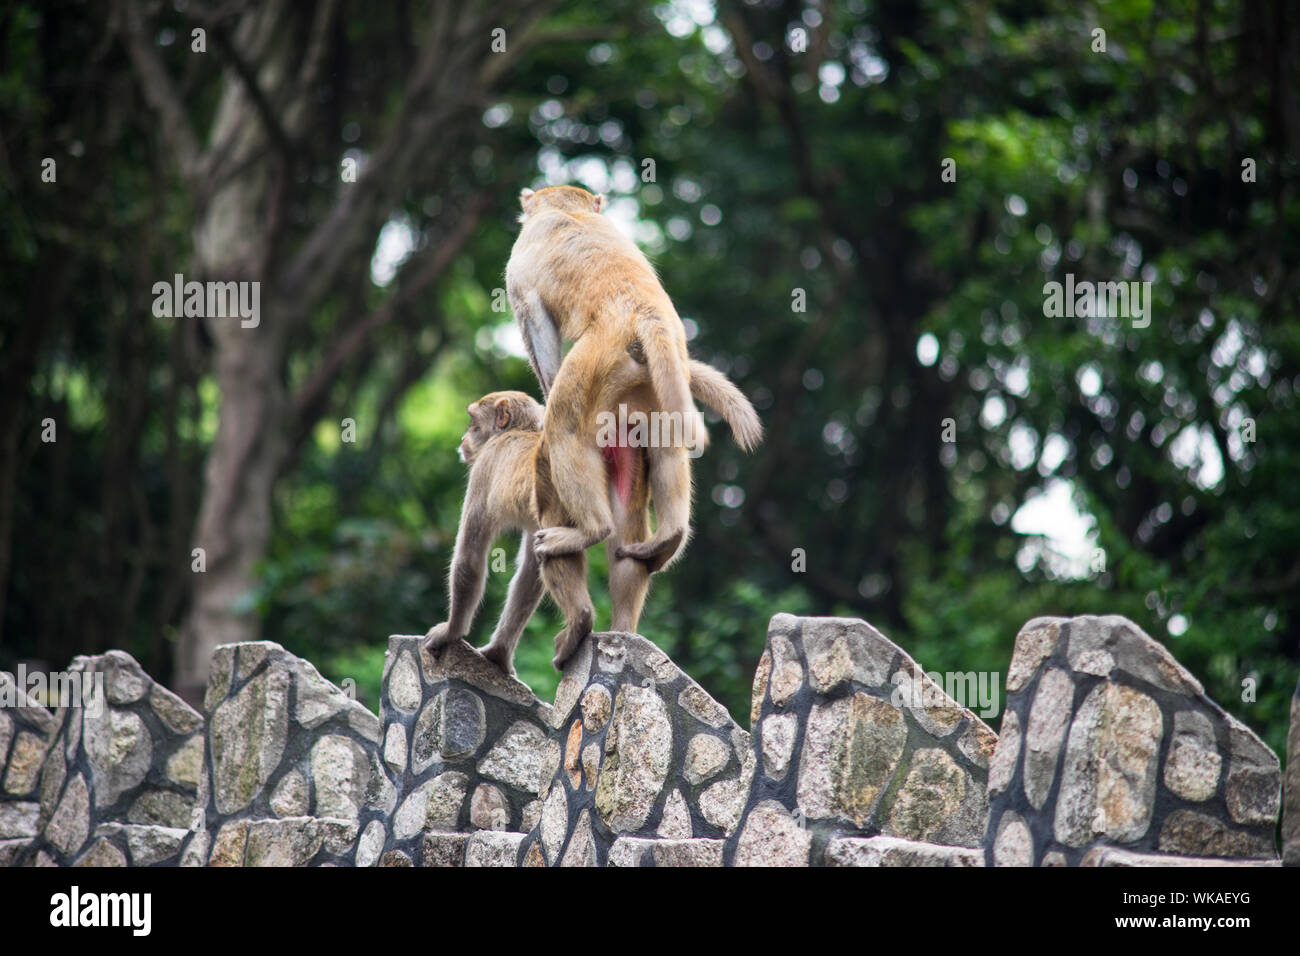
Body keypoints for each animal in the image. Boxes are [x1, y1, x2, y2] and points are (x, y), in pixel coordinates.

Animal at [424, 357, 761, 675]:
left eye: (472, 421)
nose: (463, 439)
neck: (521, 431)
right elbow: (529, 571)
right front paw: (499, 653)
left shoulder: (484, 469)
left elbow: (471, 556)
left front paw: (451, 632)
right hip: (625, 467)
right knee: (625, 544)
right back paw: (623, 629)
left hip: (560, 482)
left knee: (553, 541)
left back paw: (581, 617)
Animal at [505, 184, 707, 574]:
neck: (567, 209)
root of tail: (645, 311)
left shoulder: (519, 269)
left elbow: (534, 319)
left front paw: (546, 391)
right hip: (661, 371)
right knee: (667, 442)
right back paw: (669, 538)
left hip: (596, 358)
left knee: (566, 429)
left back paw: (592, 531)